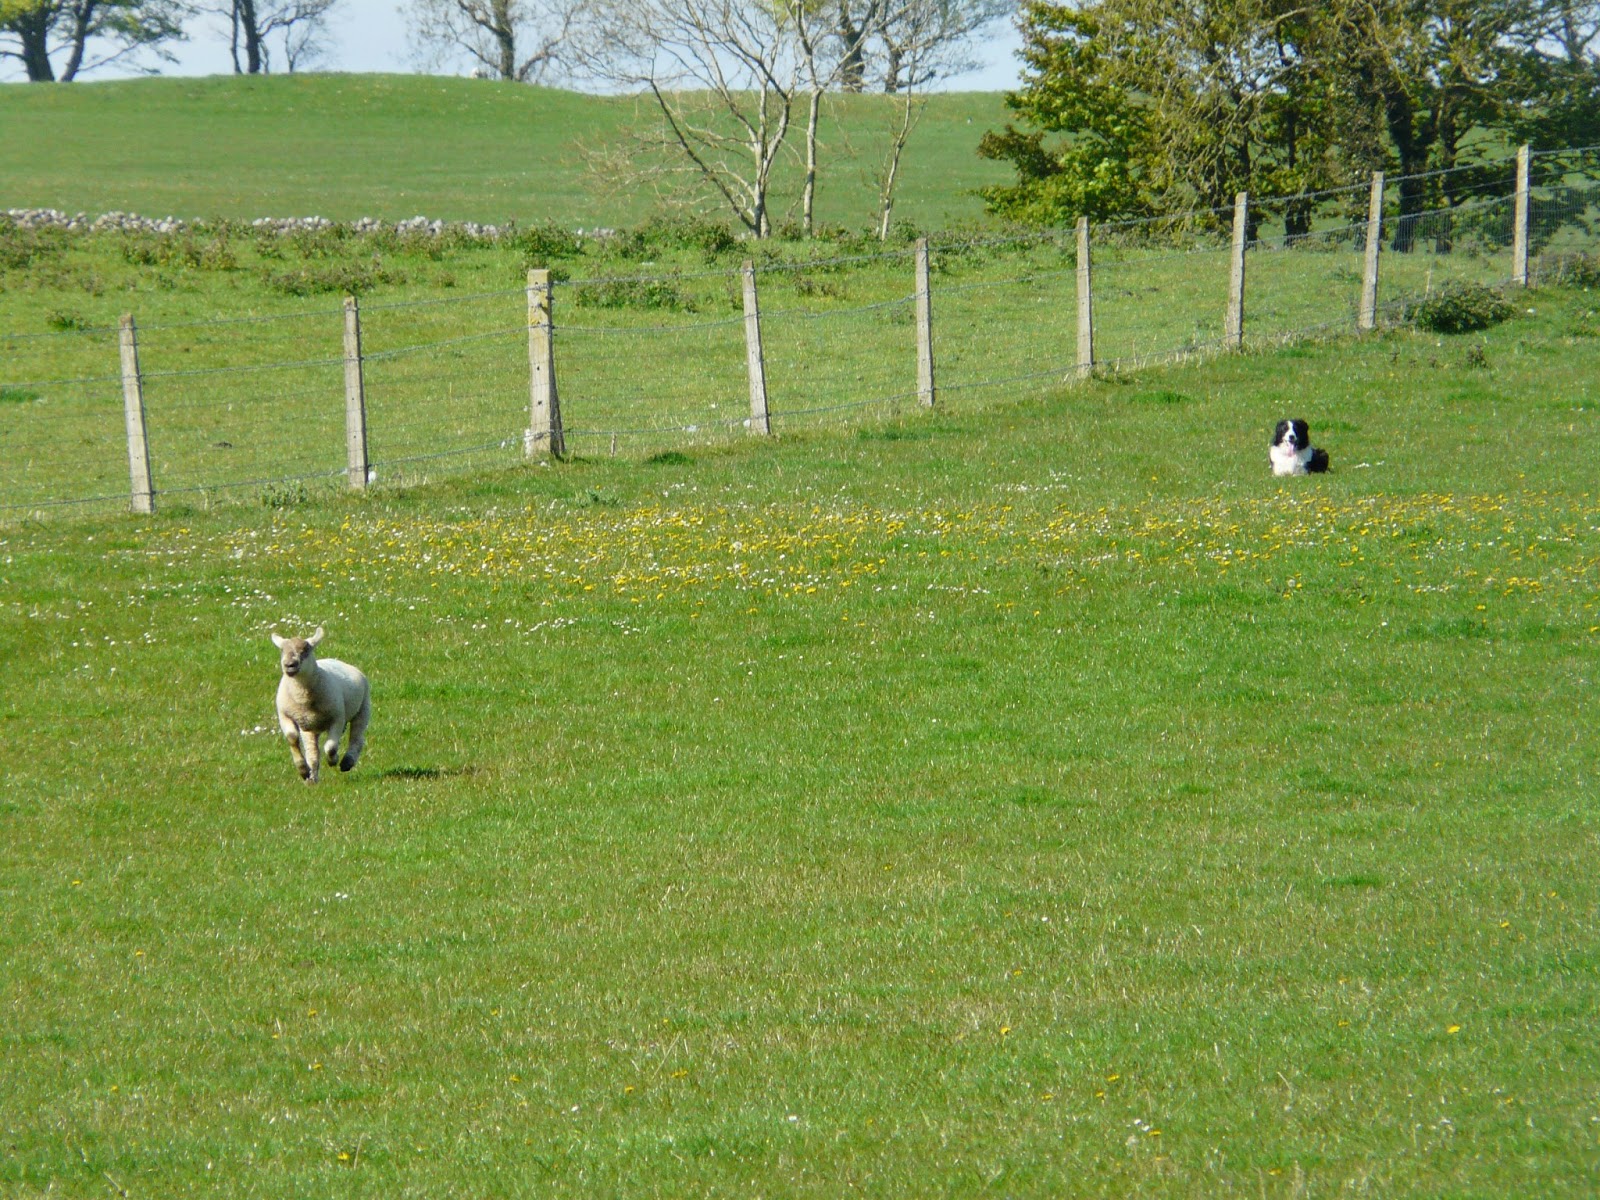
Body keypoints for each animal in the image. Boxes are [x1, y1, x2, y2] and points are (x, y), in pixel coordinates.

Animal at [270, 626, 370, 784]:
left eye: (305, 651)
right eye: (282, 651)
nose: (289, 665)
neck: (302, 696)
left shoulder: (337, 718)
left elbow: (331, 747)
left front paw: (333, 760)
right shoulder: (286, 716)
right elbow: (292, 737)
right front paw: (303, 770)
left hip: (363, 708)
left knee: (357, 737)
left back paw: (347, 762)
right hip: (309, 727)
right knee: (312, 752)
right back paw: (312, 778)